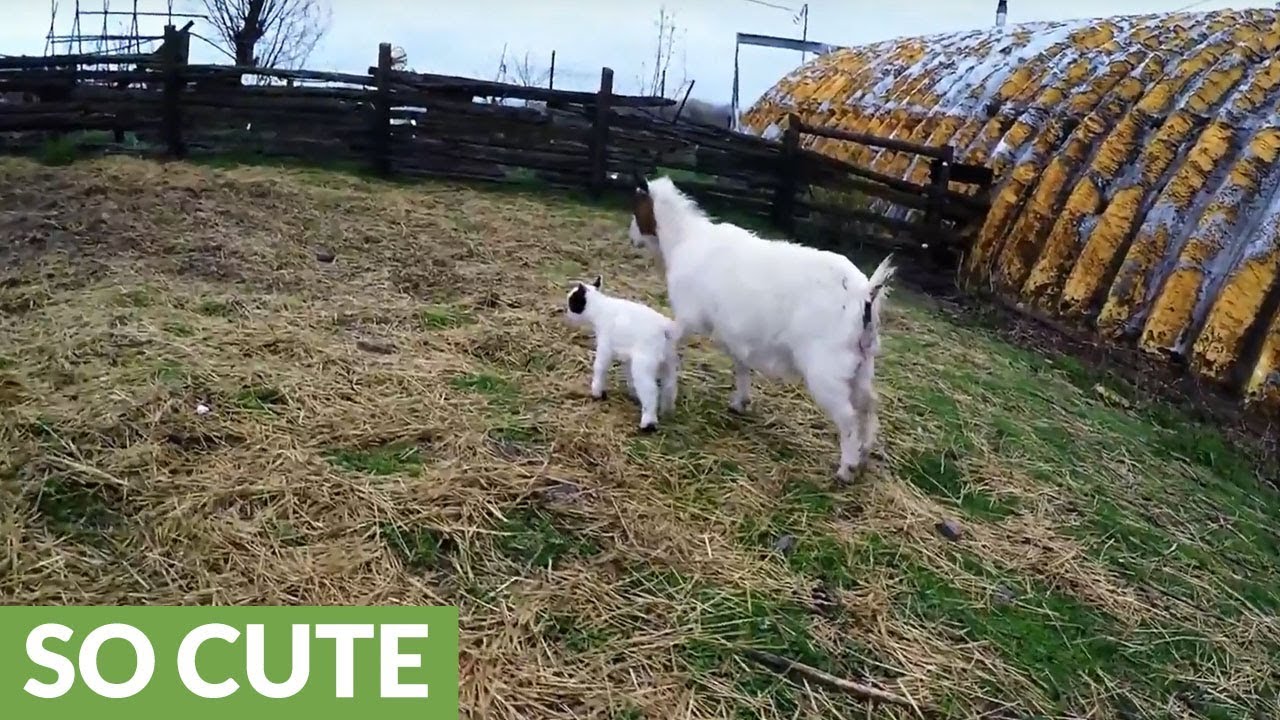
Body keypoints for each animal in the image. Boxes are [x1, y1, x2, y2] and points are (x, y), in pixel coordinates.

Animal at [562, 274, 680, 431]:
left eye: (572, 302)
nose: (567, 312)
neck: (600, 309)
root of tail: (665, 329)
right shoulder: (628, 357)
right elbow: (628, 374)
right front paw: (633, 393)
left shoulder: (605, 346)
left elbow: (599, 367)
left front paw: (596, 392)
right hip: (668, 361)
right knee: (670, 385)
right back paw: (667, 411)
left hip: (644, 363)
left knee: (650, 390)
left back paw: (648, 423)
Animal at [627, 174, 895, 482]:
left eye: (637, 206)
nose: (631, 237)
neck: (685, 239)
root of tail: (865, 293)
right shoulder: (735, 332)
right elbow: (741, 364)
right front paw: (740, 403)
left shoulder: (688, 317)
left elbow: (672, 341)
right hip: (861, 363)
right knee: (868, 406)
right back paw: (863, 455)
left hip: (827, 369)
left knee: (849, 417)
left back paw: (846, 470)